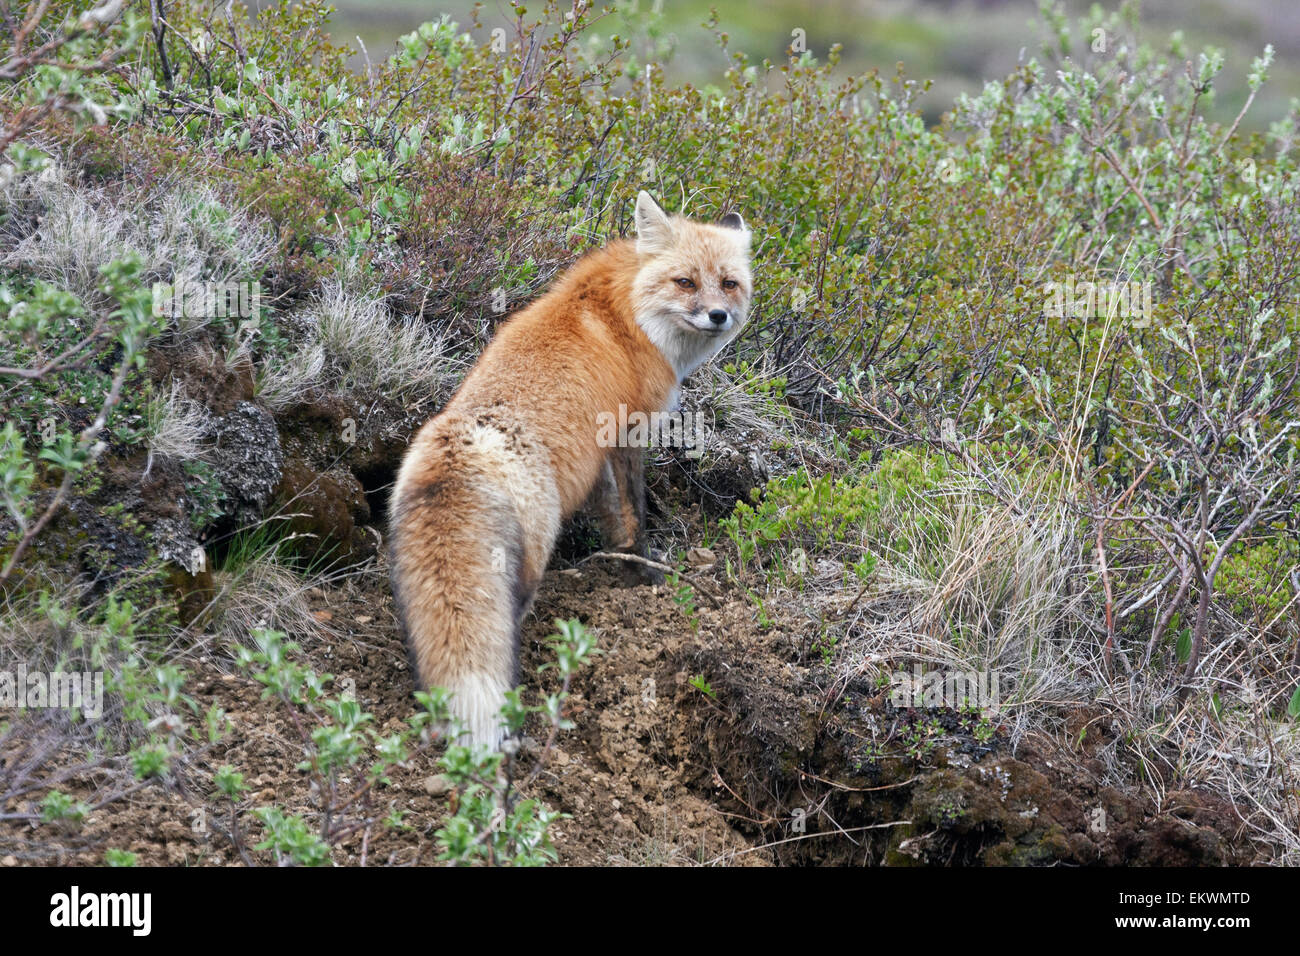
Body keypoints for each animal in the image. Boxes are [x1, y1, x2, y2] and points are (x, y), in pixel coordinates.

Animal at [387, 191, 753, 749]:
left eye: (728, 283)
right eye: (686, 282)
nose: (717, 315)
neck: (631, 313)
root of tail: (459, 450)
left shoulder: (597, 457)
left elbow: (612, 515)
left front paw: (624, 565)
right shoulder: (627, 432)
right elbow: (634, 514)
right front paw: (646, 578)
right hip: (528, 564)